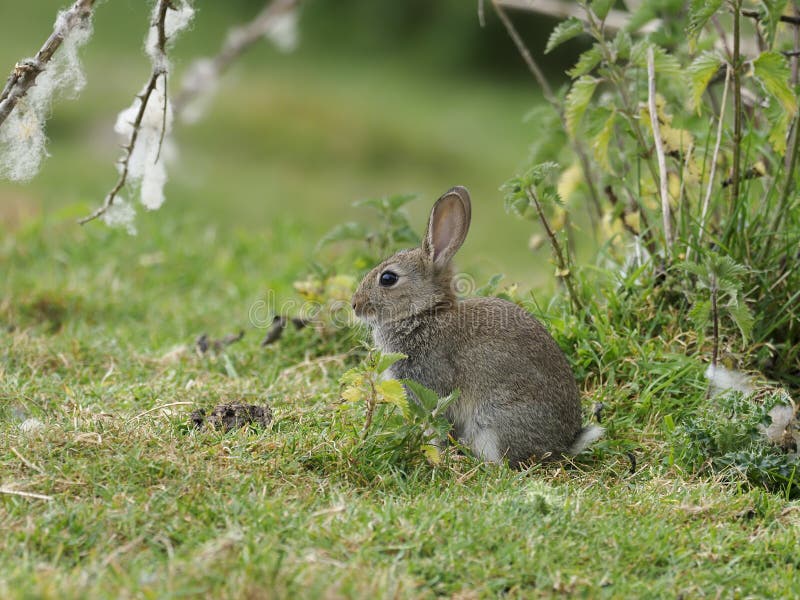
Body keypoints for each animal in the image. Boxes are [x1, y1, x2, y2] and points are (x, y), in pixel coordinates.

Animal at [351, 186, 603, 467]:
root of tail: (563, 445)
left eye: (388, 278)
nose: (354, 305)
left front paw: (437, 457)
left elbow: (437, 427)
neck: (424, 313)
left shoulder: (435, 390)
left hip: (493, 421)